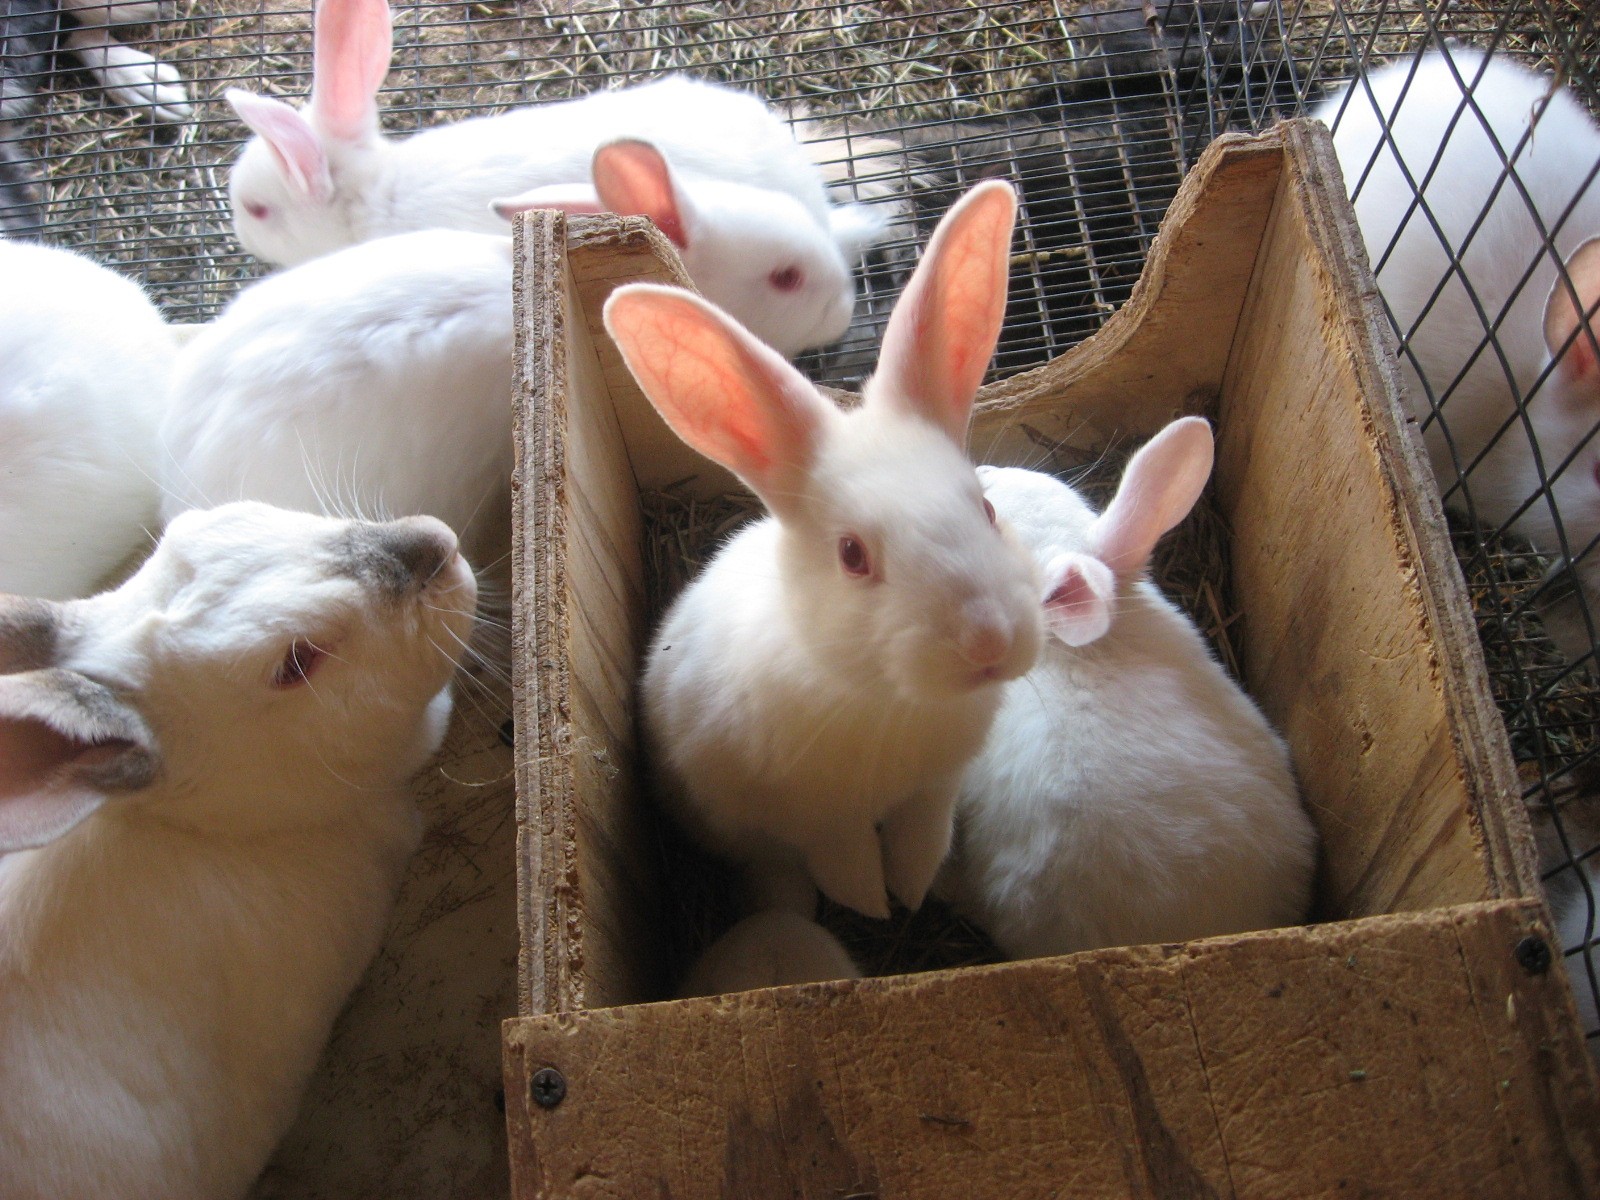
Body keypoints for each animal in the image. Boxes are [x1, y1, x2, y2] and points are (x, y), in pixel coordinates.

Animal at [606, 179, 1044, 922]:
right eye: (852, 555)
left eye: (985, 509)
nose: (988, 643)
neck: (889, 703)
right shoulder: (809, 813)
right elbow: (842, 856)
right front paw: (872, 905)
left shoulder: (937, 785)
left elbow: (923, 835)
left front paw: (912, 888)